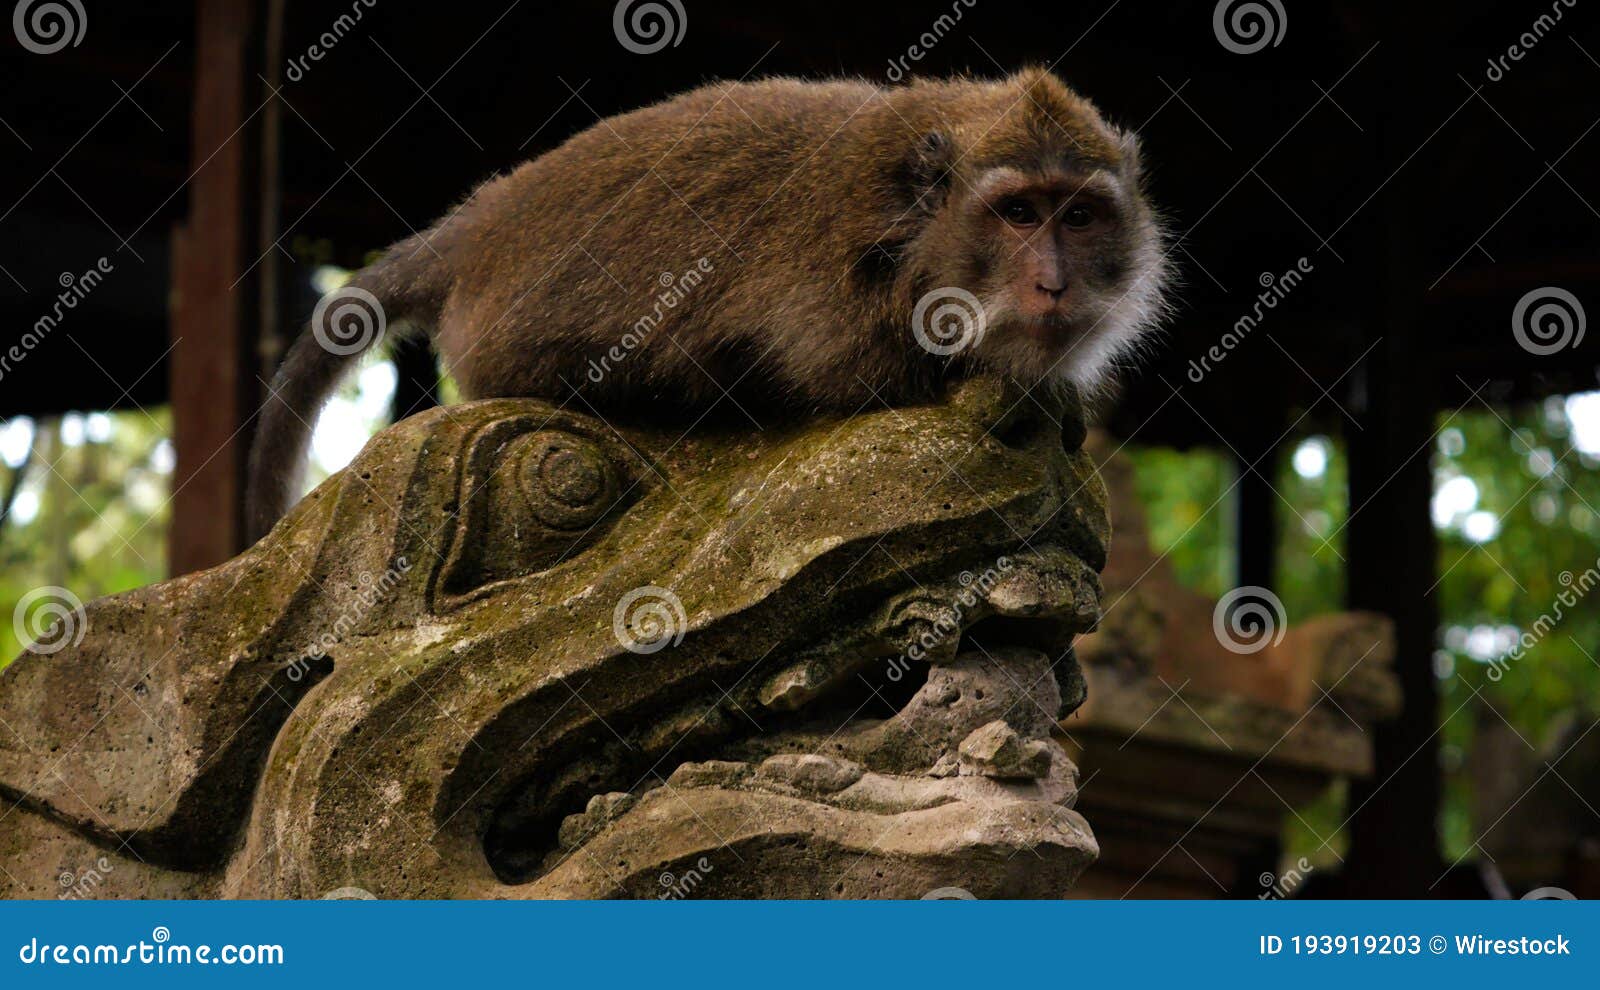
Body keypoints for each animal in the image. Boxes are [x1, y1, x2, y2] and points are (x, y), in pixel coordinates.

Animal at [247, 68, 1170, 538]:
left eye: (1078, 217)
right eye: (1019, 214)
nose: (1053, 280)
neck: (909, 236)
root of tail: (486, 221)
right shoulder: (833, 300)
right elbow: (851, 382)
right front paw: (1018, 396)